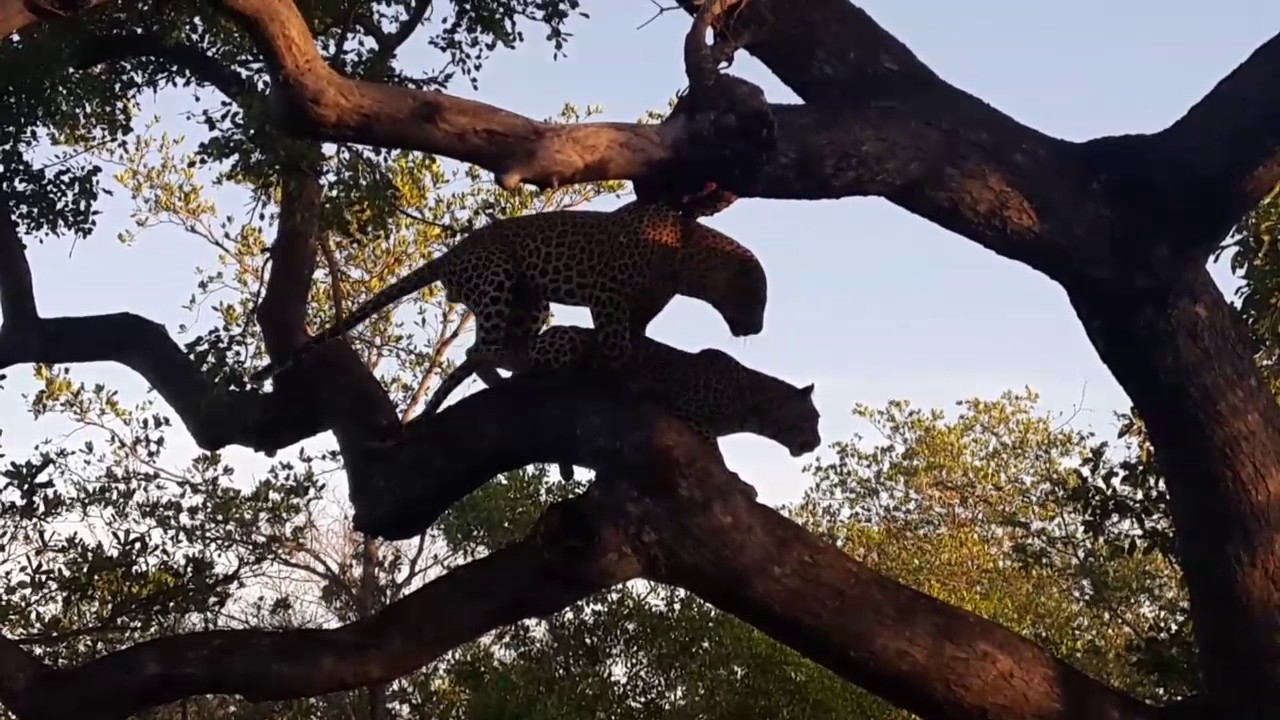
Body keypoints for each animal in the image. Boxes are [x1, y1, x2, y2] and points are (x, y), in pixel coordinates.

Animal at [247, 201, 768, 385]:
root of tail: (453, 253)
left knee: (491, 345)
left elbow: (636, 335)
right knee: (479, 347)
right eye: (758, 299)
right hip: (495, 276)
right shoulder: (607, 295)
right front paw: (616, 362)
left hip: (530, 300)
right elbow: (616, 339)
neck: (685, 257)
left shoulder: (639, 309)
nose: (758, 327)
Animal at [418, 324, 822, 481]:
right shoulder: (684, 408)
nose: (817, 442)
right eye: (815, 418)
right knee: (490, 355)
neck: (751, 405)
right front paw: (734, 476)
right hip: (564, 346)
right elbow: (712, 445)